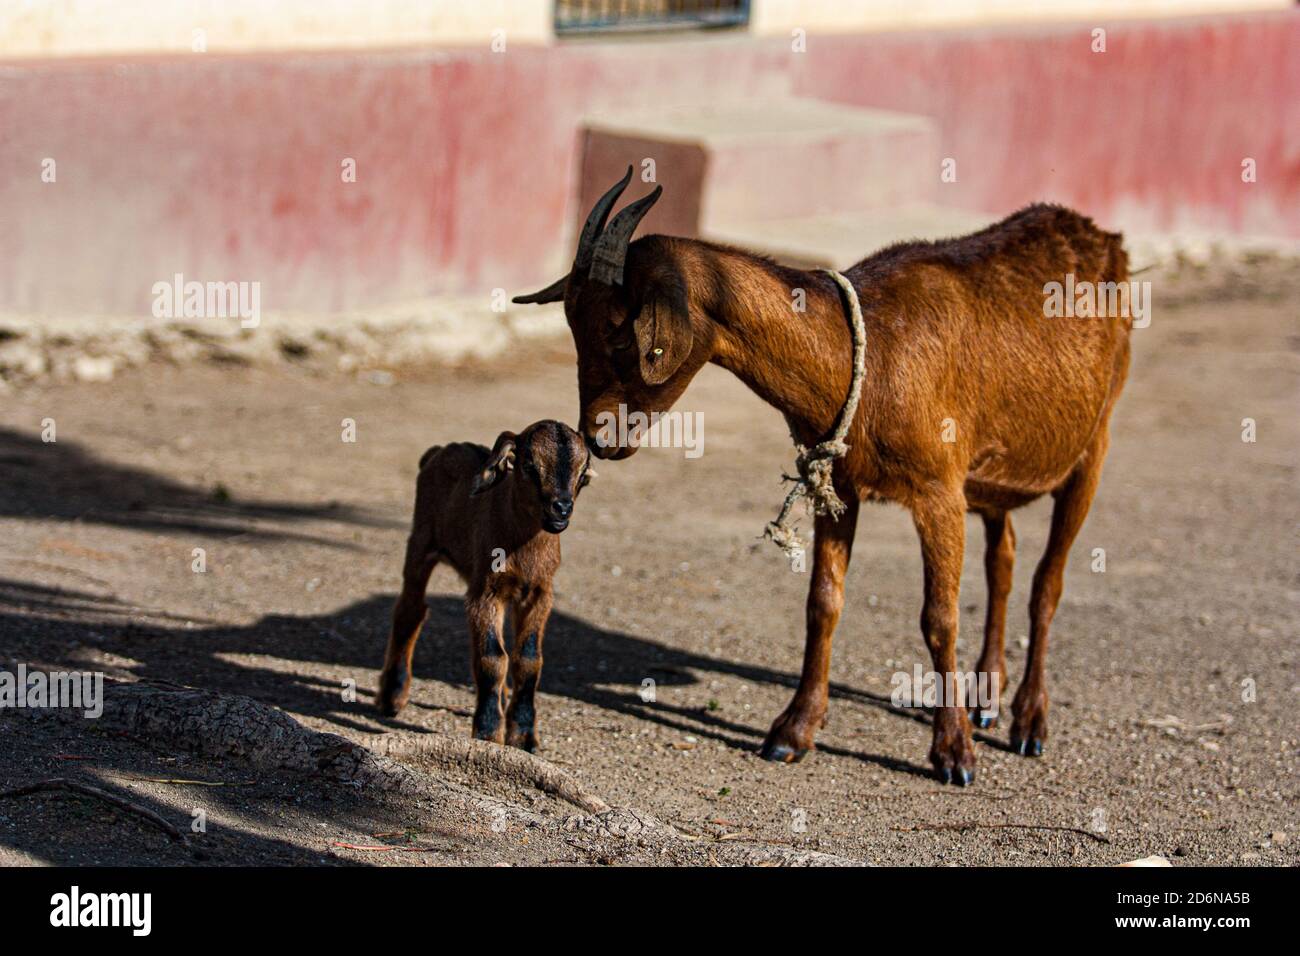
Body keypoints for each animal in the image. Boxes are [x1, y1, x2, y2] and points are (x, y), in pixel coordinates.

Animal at [377, 420, 594, 751]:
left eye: (582, 473)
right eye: (529, 466)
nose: (561, 508)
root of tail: (437, 452)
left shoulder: (540, 592)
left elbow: (528, 660)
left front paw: (524, 737)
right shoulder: (485, 592)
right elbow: (492, 658)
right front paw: (489, 732)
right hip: (421, 542)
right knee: (410, 610)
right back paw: (392, 696)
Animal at [514, 167, 1132, 784]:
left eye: (621, 331)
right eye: (573, 324)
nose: (598, 436)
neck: (867, 354)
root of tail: (1102, 237)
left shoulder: (940, 491)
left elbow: (940, 617)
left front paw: (954, 753)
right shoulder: (842, 483)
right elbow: (823, 603)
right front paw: (793, 731)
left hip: (1095, 443)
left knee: (1047, 584)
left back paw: (1029, 721)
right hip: (995, 476)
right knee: (1003, 560)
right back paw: (987, 699)